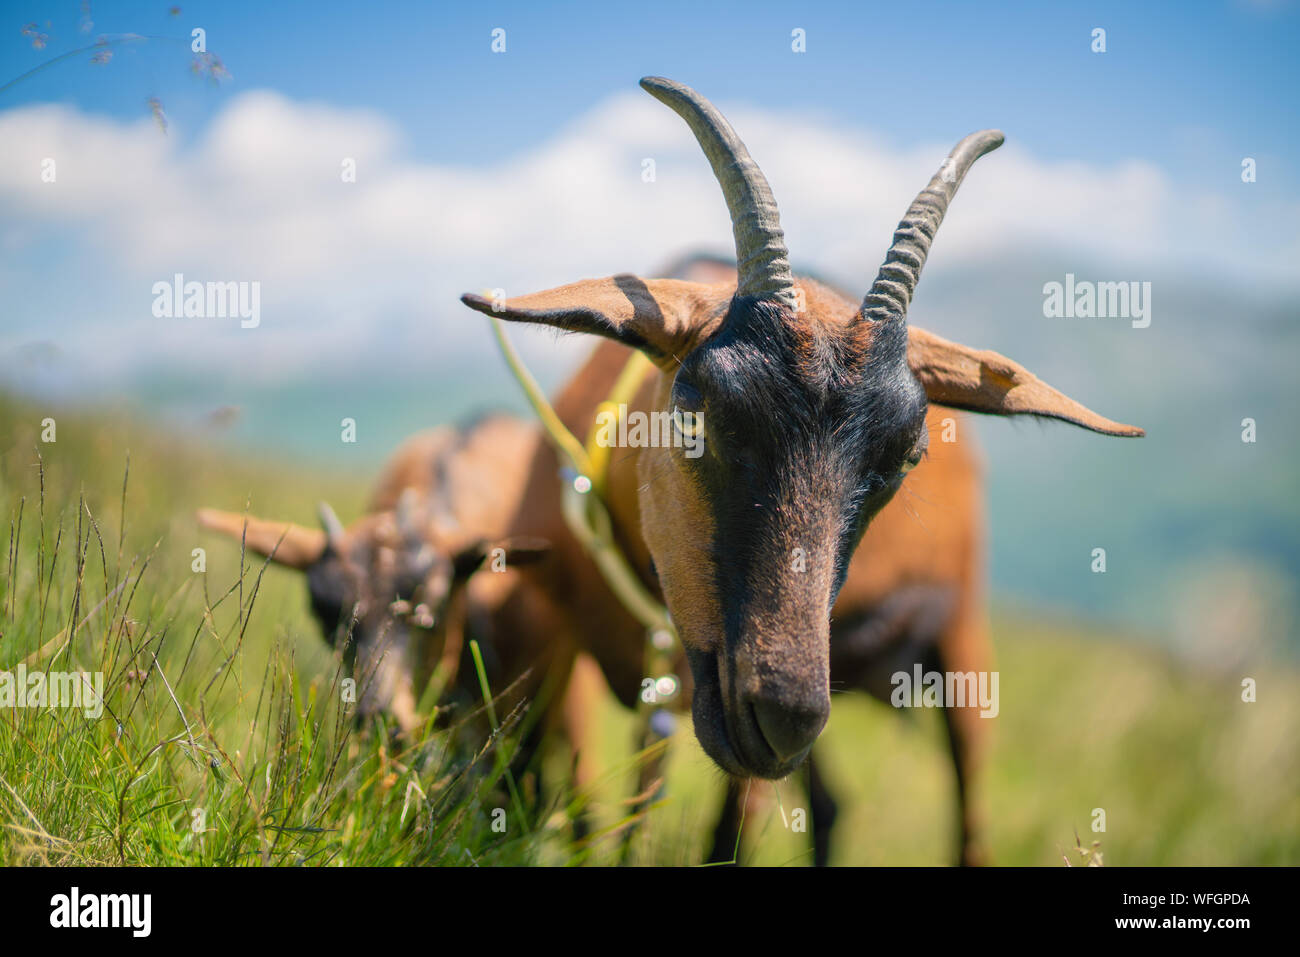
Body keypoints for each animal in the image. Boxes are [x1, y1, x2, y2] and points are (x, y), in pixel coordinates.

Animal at [461, 77, 1143, 864]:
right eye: (692, 407)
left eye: (907, 455)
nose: (786, 713)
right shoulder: (560, 639)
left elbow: (723, 836)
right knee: (832, 806)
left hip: (959, 640)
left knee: (968, 814)